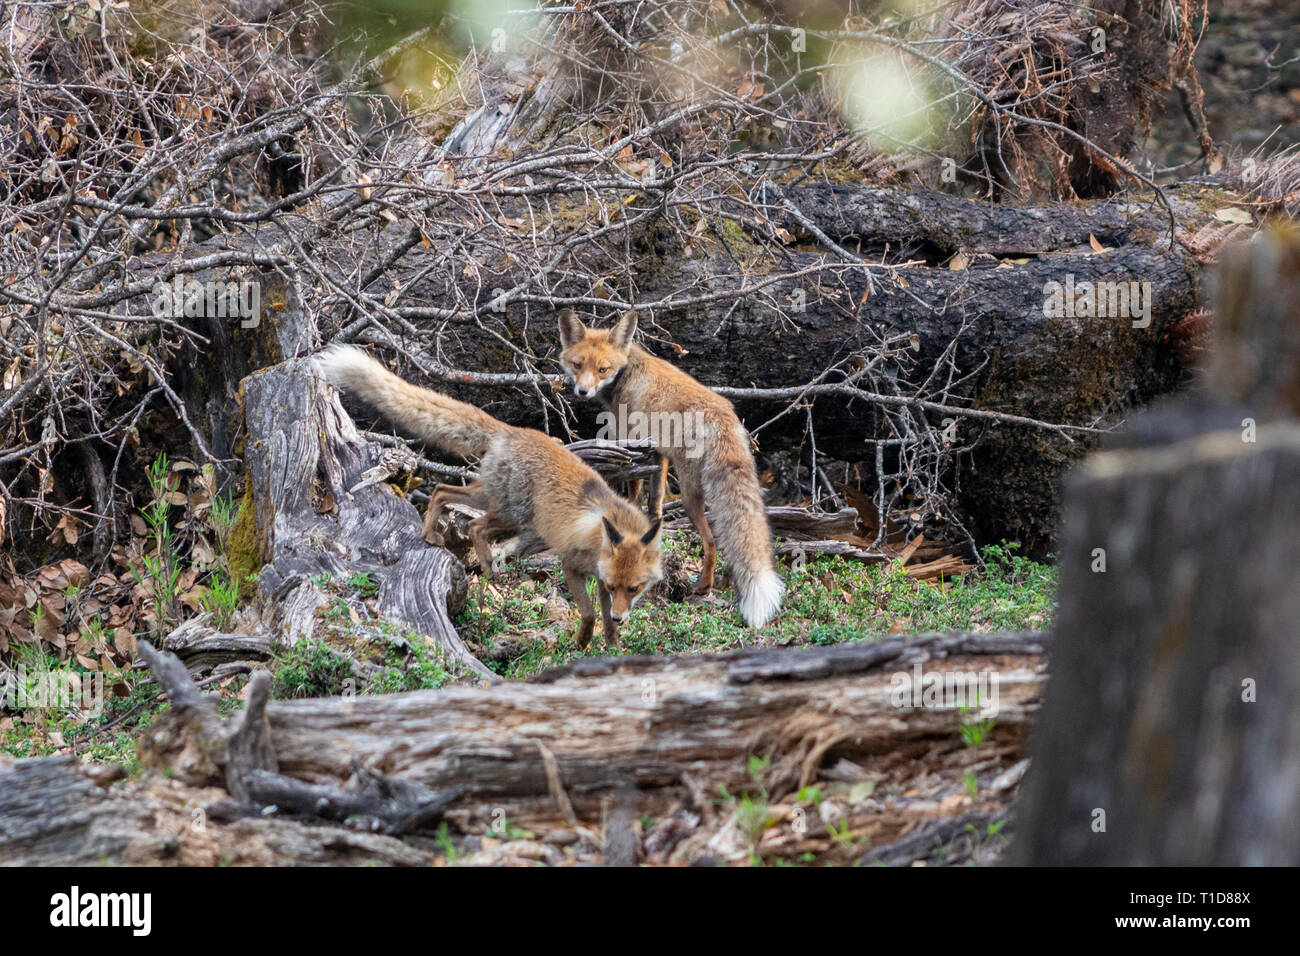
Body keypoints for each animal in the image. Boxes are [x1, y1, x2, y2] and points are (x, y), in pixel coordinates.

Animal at [312, 344, 663, 649]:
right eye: (621, 587)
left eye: (634, 588)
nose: (621, 617)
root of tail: (510, 431)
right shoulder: (573, 565)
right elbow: (589, 613)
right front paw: (582, 641)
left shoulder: (601, 580)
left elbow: (601, 613)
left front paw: (612, 644)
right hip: (512, 512)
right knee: (474, 526)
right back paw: (489, 569)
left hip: (488, 496)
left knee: (442, 492)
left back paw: (429, 534)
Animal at [557, 309, 784, 628]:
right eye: (578, 365)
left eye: (603, 369)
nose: (583, 391)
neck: (626, 373)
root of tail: (723, 414)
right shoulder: (658, 453)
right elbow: (656, 505)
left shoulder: (631, 445)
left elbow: (633, 496)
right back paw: (726, 582)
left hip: (689, 493)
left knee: (711, 542)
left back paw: (704, 587)